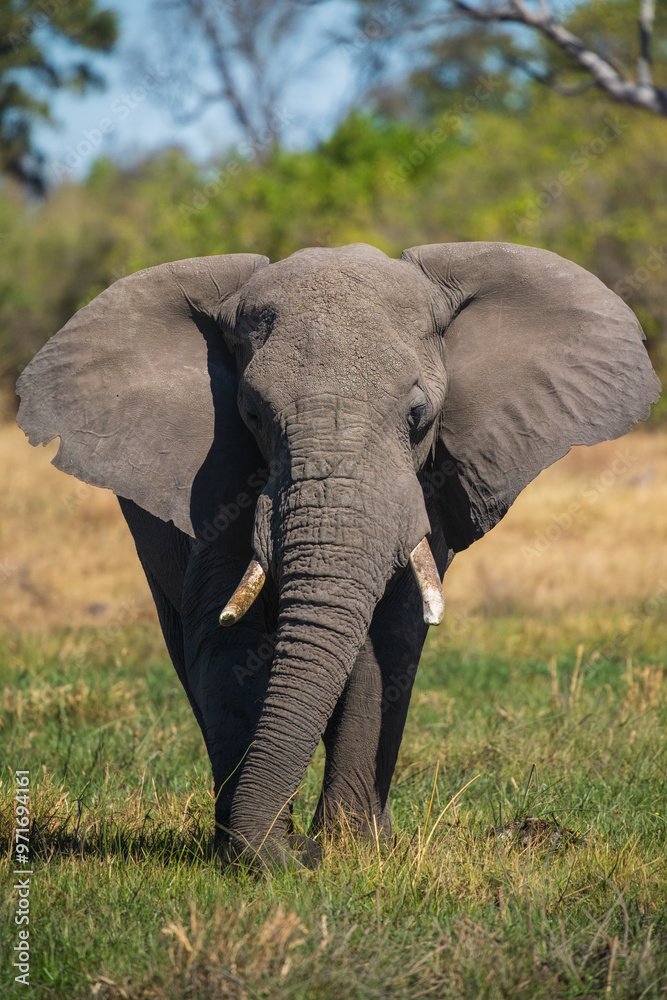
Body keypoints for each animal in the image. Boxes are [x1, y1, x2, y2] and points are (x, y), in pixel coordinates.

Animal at [17, 241, 660, 869]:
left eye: (419, 417)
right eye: (251, 415)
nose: (299, 854)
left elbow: (391, 641)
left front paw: (353, 850)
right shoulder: (216, 491)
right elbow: (227, 644)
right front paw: (261, 855)